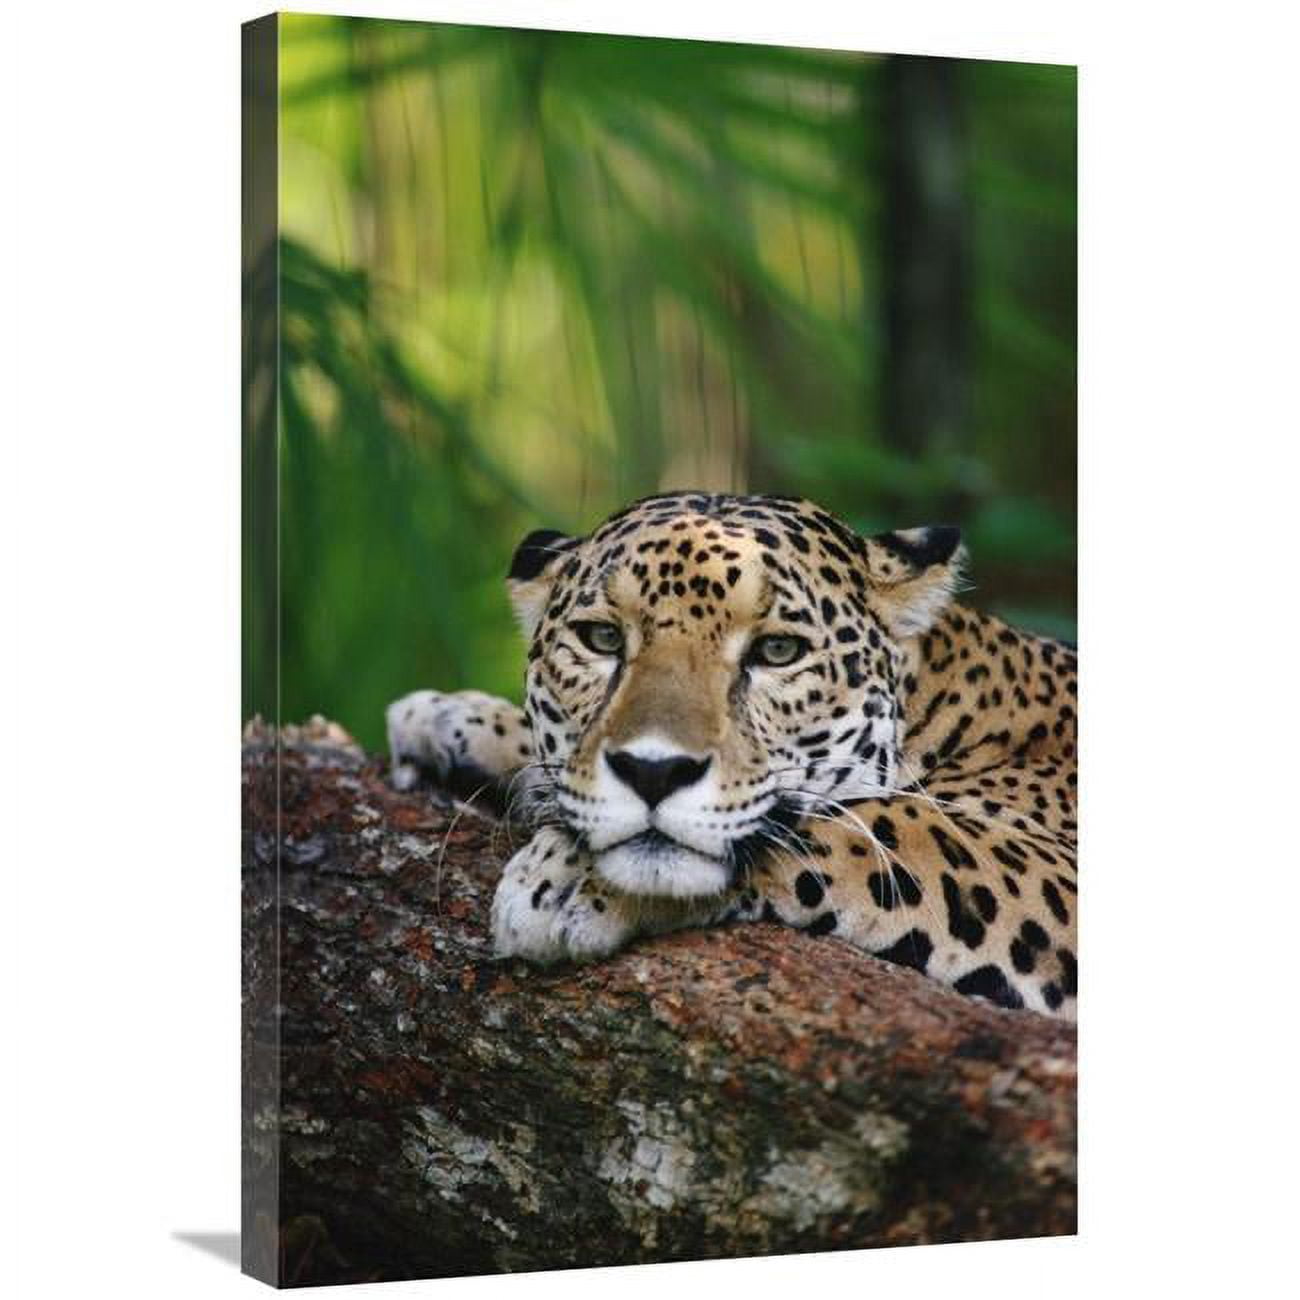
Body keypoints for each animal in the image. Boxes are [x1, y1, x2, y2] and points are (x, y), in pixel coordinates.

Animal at [387, 491, 1077, 1019]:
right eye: (602, 638)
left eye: (777, 651)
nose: (654, 771)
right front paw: (451, 718)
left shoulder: (1053, 868)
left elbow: (880, 823)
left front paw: (567, 880)